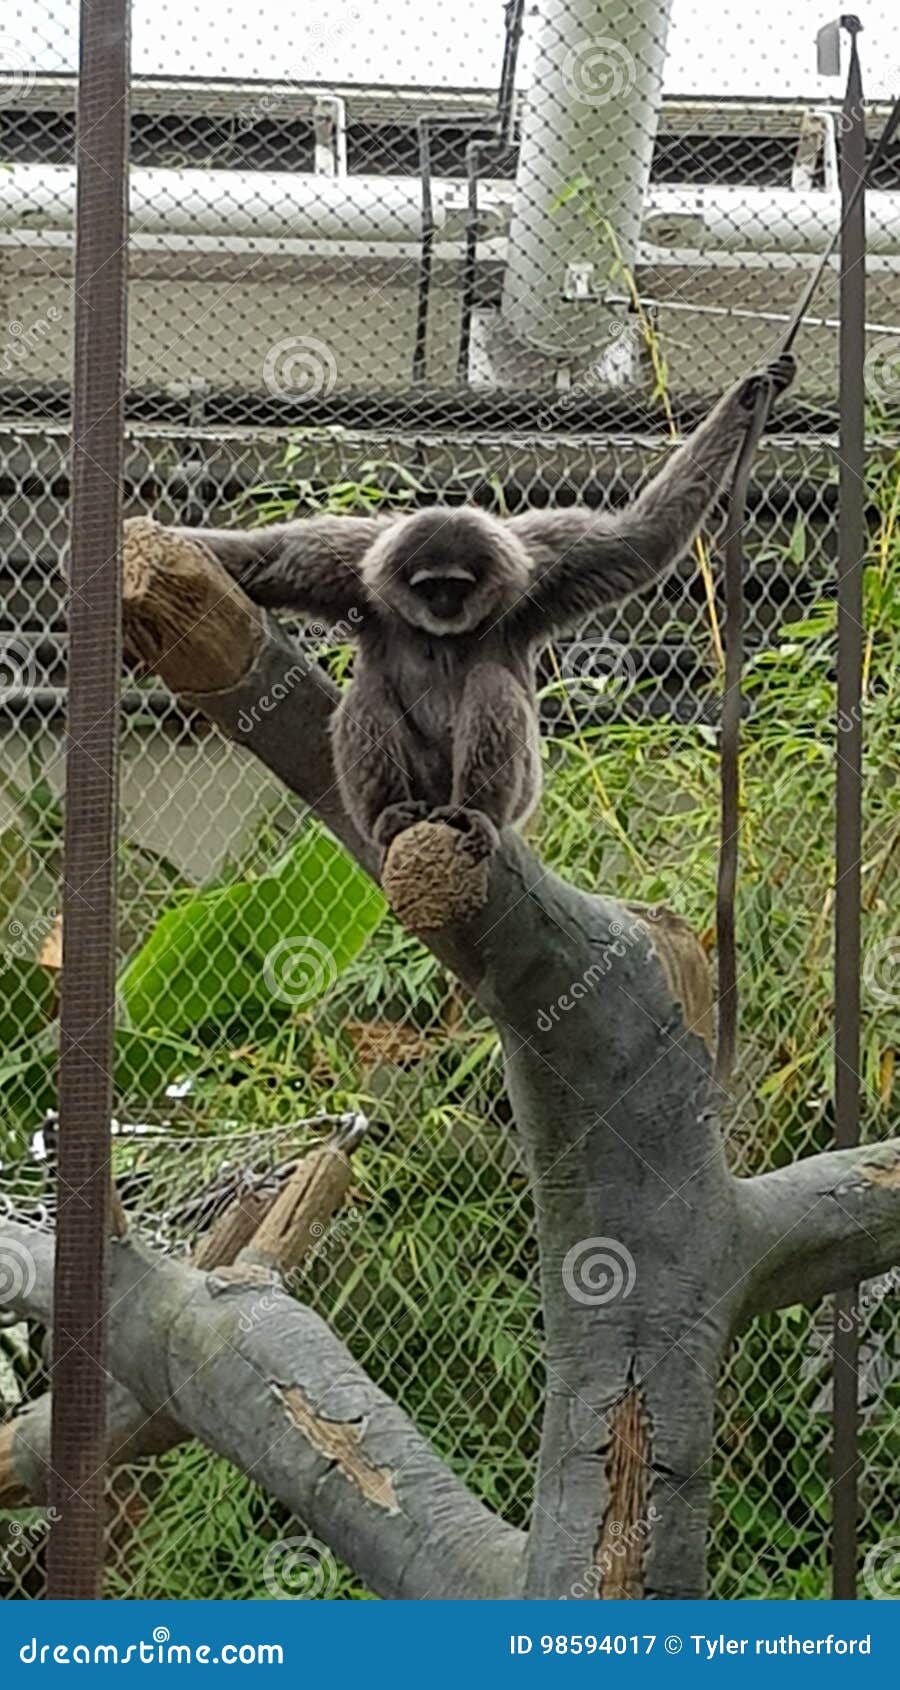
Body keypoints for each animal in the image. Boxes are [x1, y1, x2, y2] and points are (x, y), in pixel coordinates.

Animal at [173, 354, 794, 864]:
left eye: (457, 584)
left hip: (521, 795)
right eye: (429, 587)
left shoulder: (541, 563)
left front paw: (748, 397)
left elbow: (640, 539)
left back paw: (476, 813)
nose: (446, 603)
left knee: (492, 685)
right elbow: (265, 559)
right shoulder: (353, 566)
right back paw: (388, 816)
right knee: (370, 689)